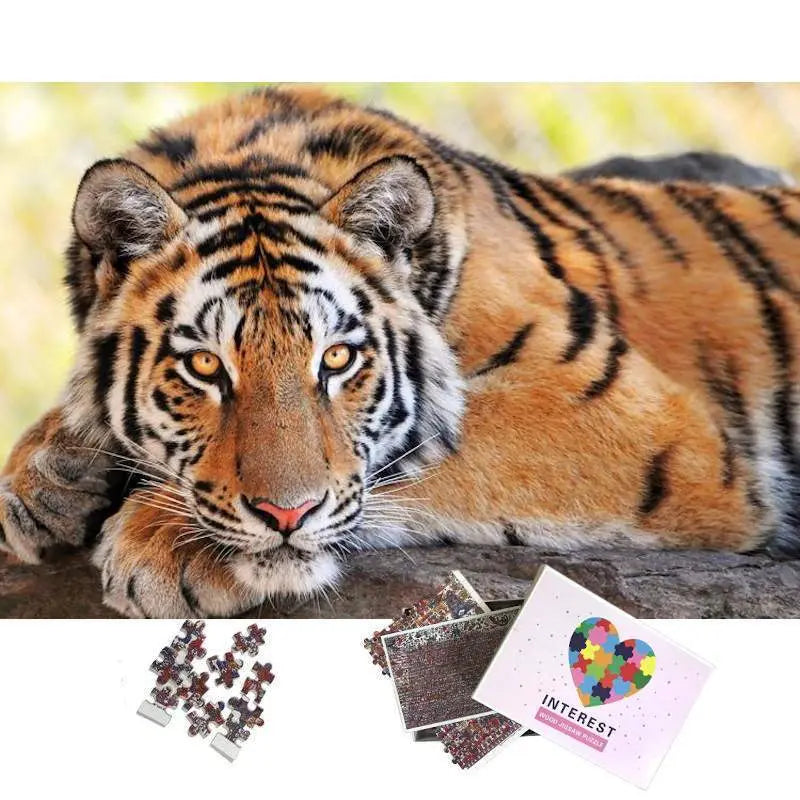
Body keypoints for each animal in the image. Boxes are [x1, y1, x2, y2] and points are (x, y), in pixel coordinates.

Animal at [1, 86, 799, 618]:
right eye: (204, 367)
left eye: (336, 360)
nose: (286, 517)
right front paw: (47, 477)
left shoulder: (637, 419)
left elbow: (423, 454)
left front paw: (166, 542)